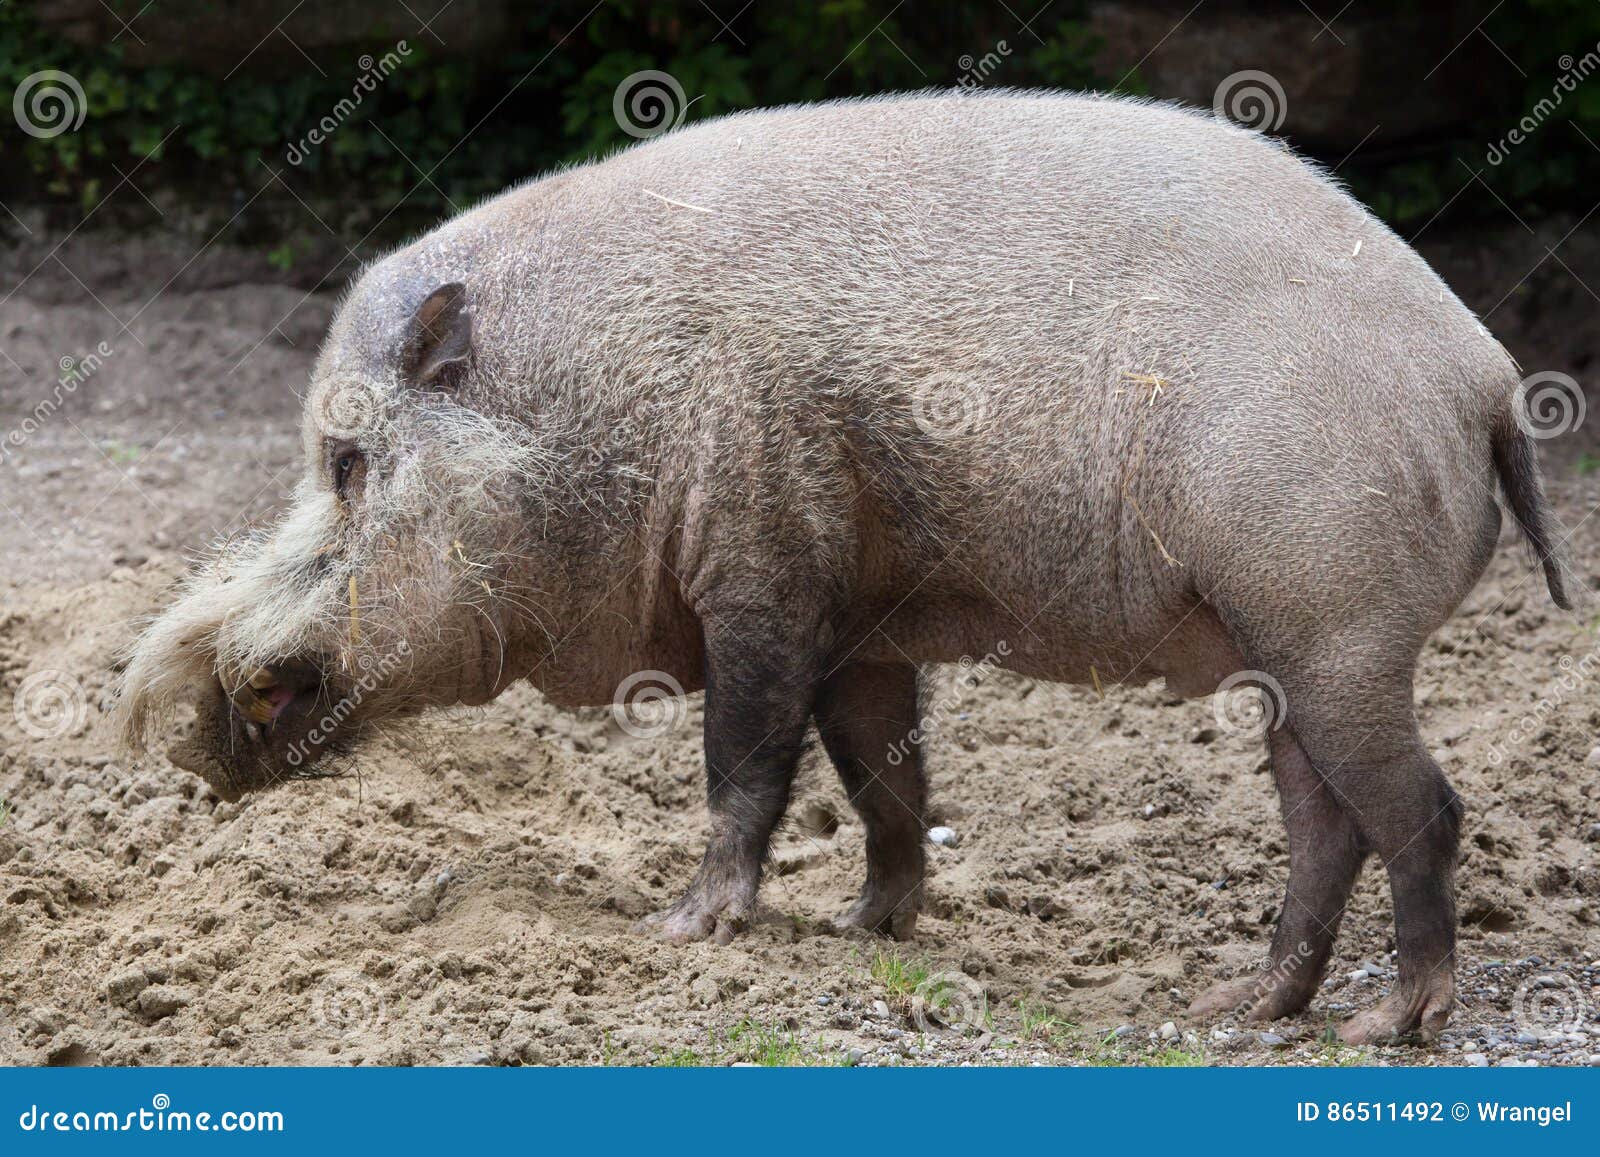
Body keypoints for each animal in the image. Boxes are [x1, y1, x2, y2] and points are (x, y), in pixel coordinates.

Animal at [119, 91, 1581, 1044]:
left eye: (347, 462)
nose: (178, 729)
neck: (589, 413)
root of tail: (1484, 375)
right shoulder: (862, 627)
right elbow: (882, 778)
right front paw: (863, 931)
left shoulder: (762, 579)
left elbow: (746, 763)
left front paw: (684, 932)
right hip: (1281, 650)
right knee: (1321, 819)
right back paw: (1241, 1011)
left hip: (1337, 631)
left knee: (1423, 809)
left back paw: (1392, 1024)